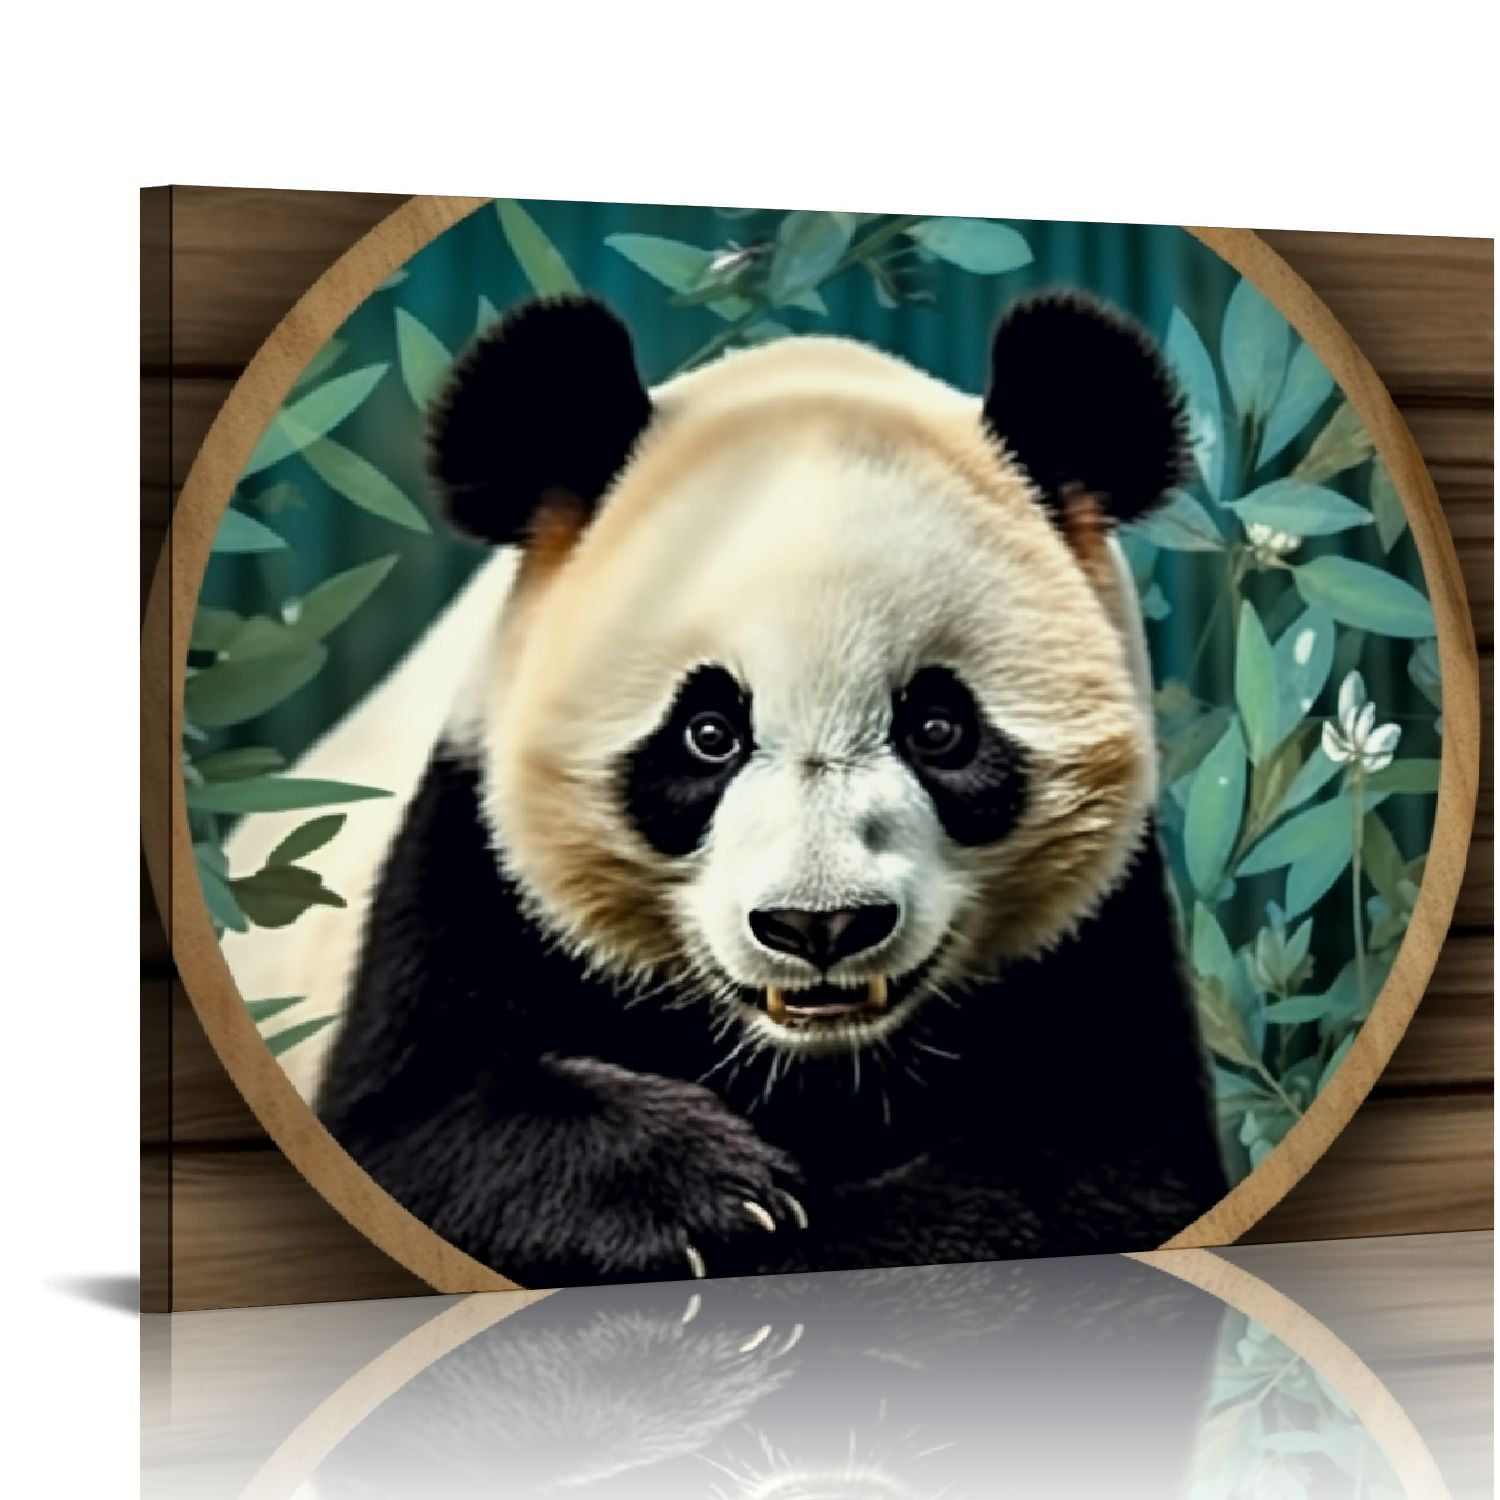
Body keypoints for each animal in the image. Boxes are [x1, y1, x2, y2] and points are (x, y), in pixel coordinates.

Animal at [221, 290, 1228, 1287]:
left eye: (939, 729)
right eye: (709, 734)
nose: (821, 925)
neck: (816, 1066)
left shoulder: (1100, 936)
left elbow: (1098, 1182)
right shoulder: (472, 874)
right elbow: (413, 1133)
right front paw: (710, 1195)